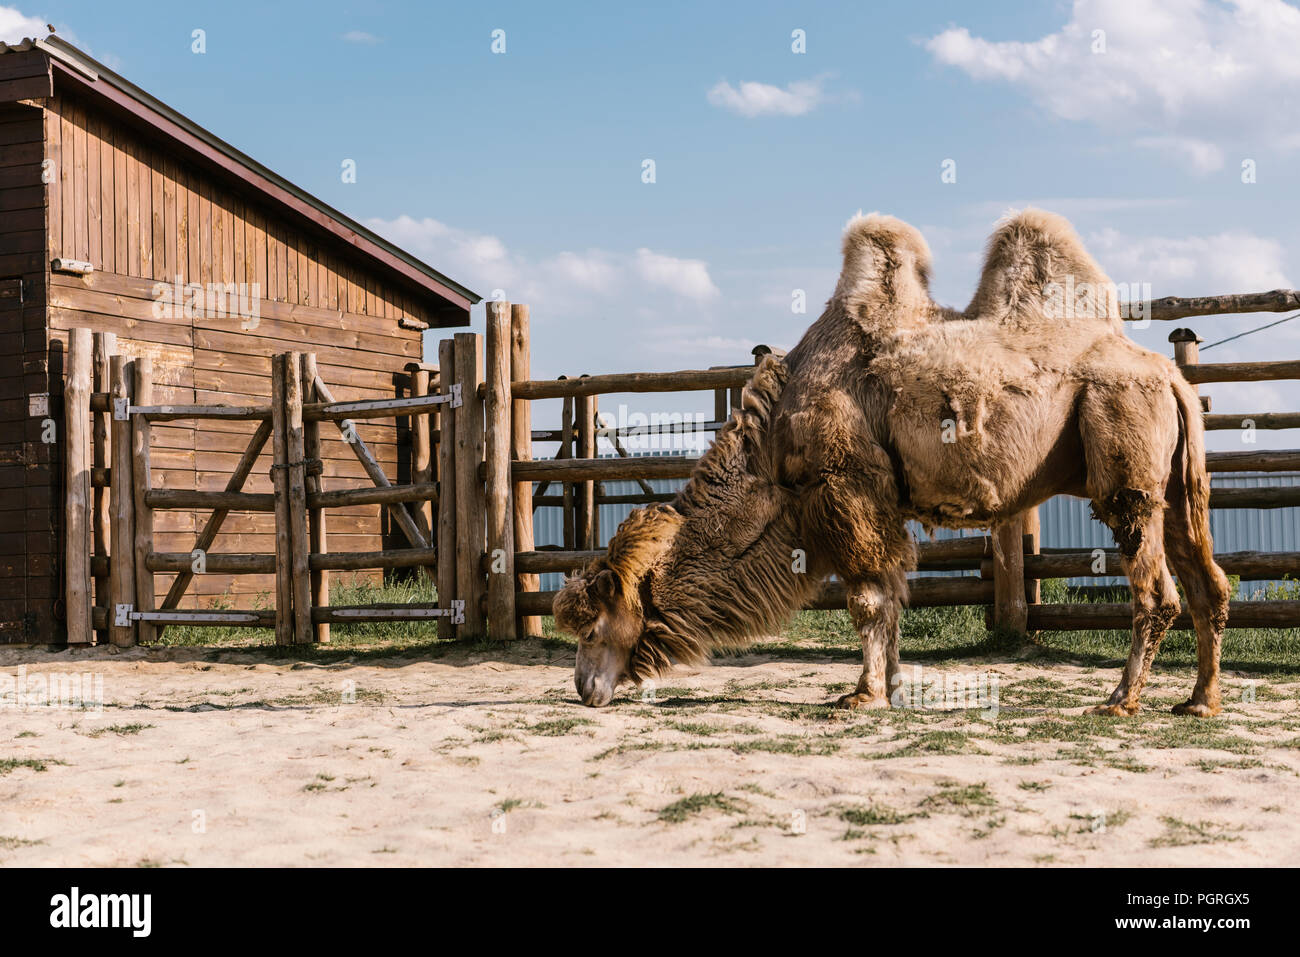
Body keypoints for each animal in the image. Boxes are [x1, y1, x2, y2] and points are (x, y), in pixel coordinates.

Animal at [555, 209, 1229, 717]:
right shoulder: (871, 503)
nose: (584, 690)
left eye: (591, 628)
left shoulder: (845, 489)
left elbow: (868, 599)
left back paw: (1120, 700)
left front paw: (862, 696)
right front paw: (891, 688)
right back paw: (1197, 702)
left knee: (1155, 587)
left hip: (1123, 447)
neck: (773, 453)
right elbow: (891, 596)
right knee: (1208, 582)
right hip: (1175, 482)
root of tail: (1170, 376)